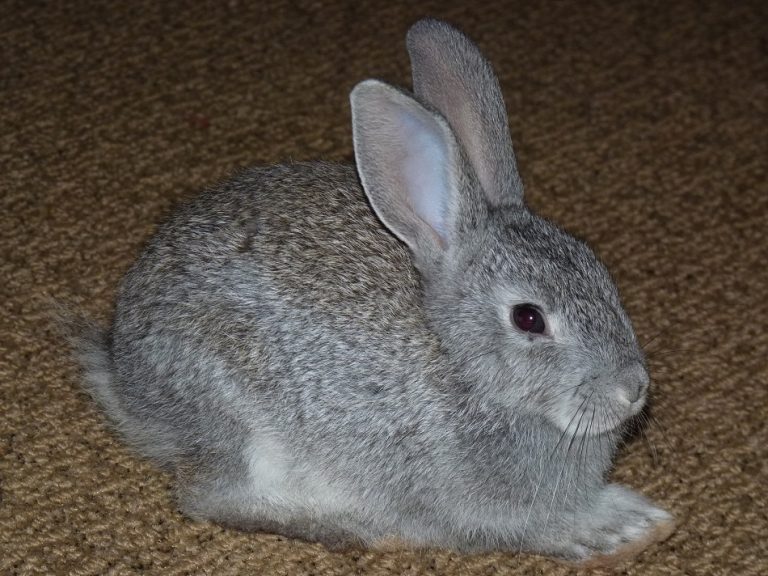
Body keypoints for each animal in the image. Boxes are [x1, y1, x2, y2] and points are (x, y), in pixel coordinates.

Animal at [72, 18, 674, 563]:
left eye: (599, 272)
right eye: (529, 318)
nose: (632, 389)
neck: (466, 368)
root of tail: (126, 379)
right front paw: (616, 532)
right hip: (236, 415)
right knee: (208, 497)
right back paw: (352, 527)